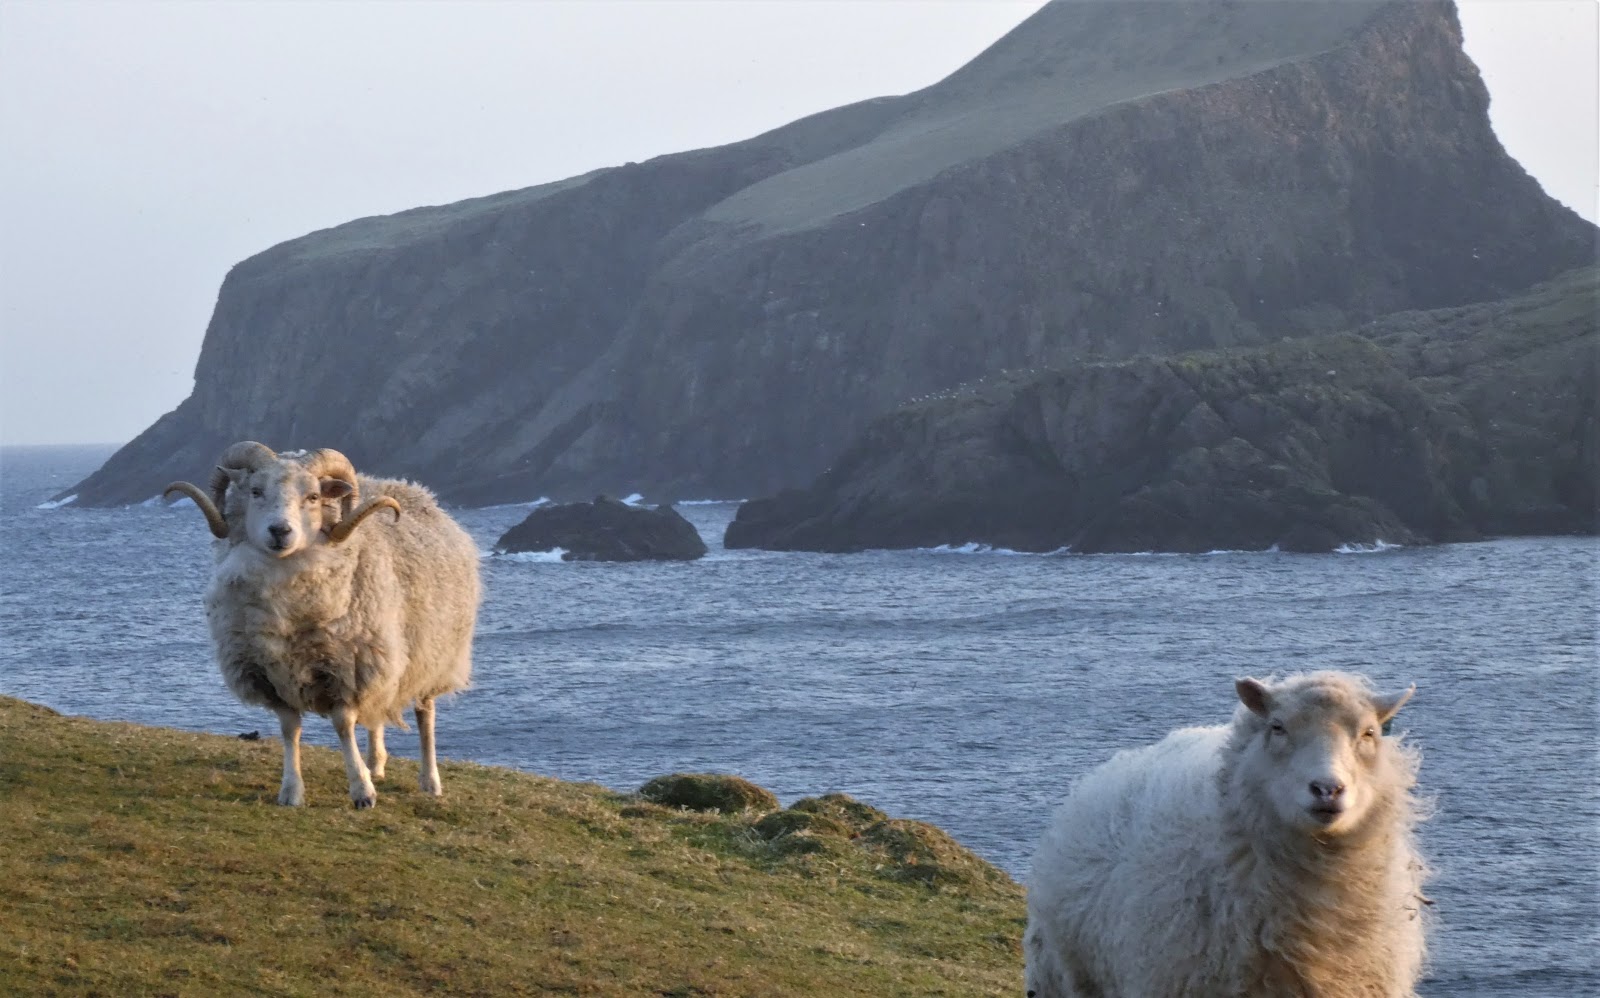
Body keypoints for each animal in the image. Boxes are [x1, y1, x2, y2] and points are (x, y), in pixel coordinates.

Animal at [165, 441, 481, 808]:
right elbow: (290, 729)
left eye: (313, 497)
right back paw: (376, 764)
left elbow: (344, 725)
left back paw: (429, 780)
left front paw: (361, 791)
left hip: (430, 655)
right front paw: (291, 790)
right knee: (376, 712)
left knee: (424, 715)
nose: (280, 531)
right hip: (384, 655)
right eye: (256, 491)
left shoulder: (344, 667)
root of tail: (414, 491)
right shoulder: (272, 675)